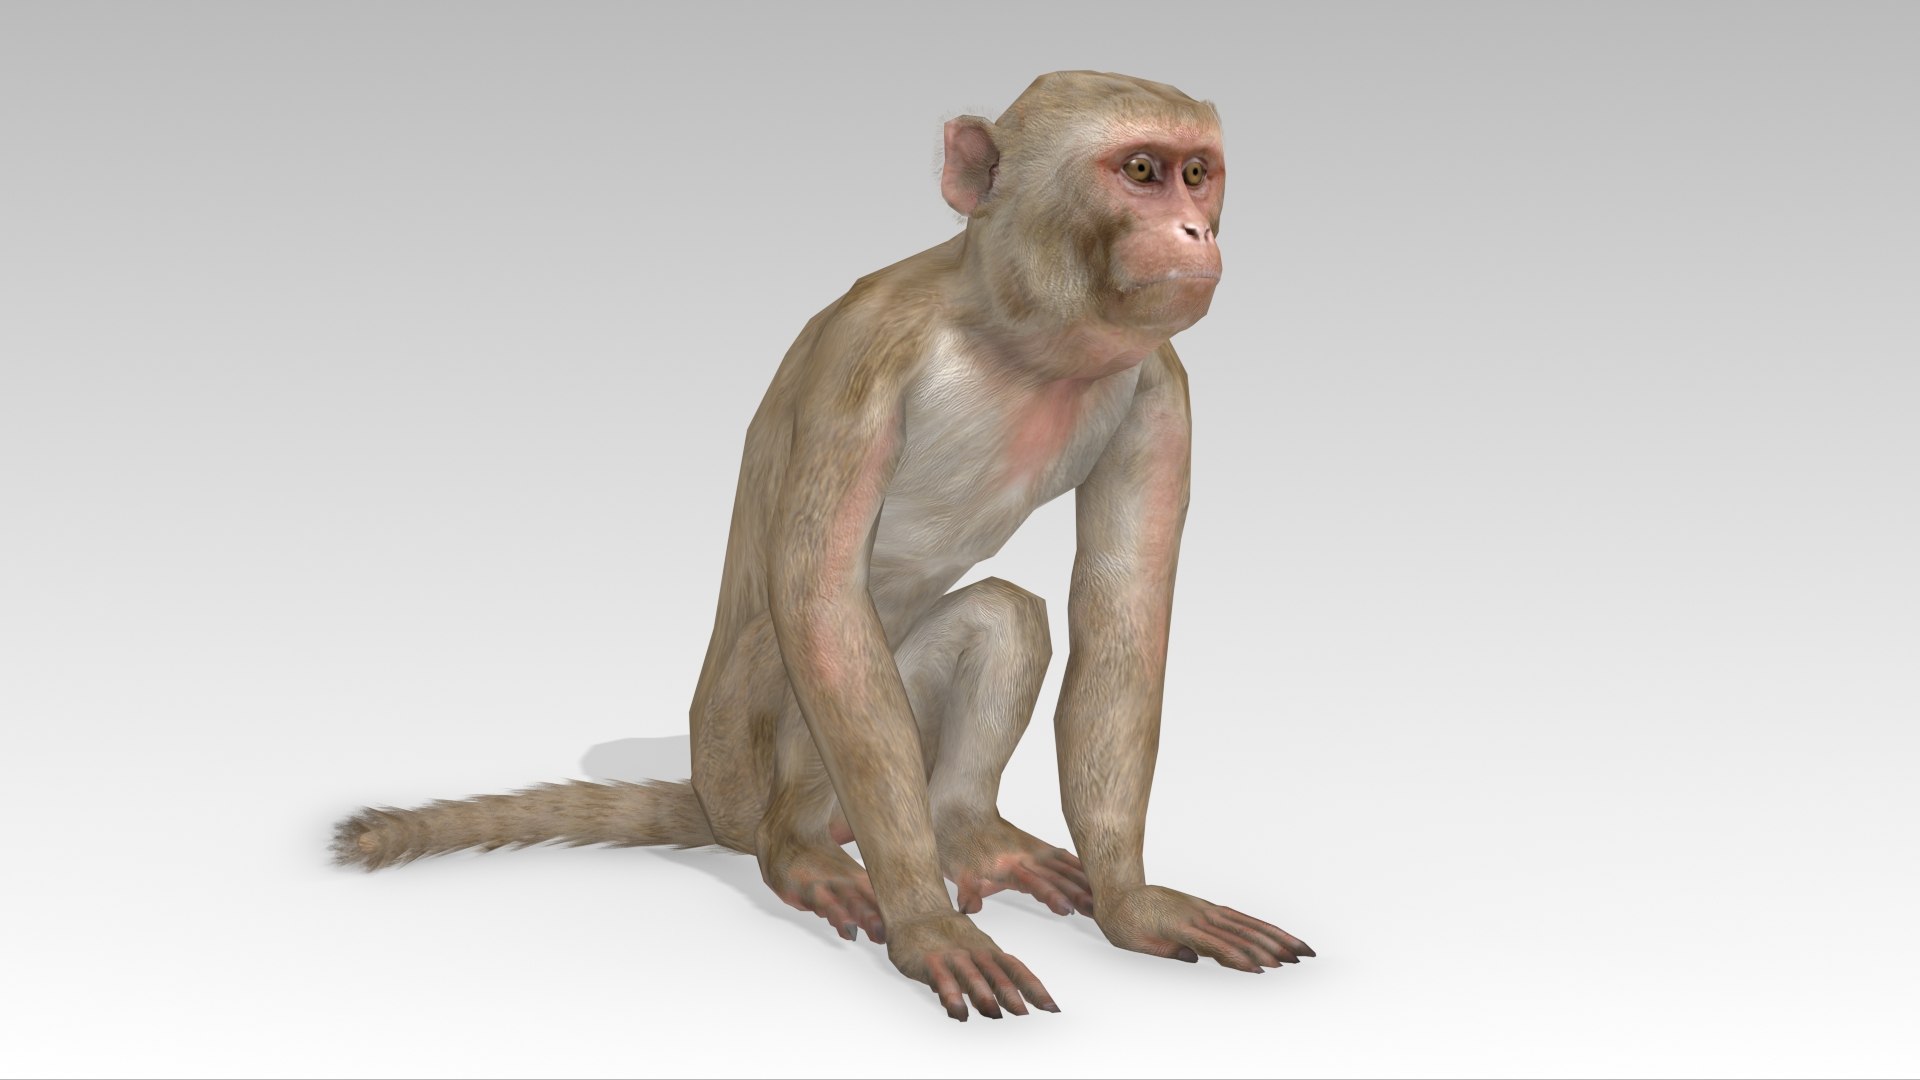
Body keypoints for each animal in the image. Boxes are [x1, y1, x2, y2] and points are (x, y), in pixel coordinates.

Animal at [332, 70, 1314, 1021]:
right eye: (1141, 171)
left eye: (1198, 173)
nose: (1194, 228)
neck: (1017, 345)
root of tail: (714, 796)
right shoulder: (866, 356)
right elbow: (819, 601)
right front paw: (926, 923)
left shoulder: (1158, 386)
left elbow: (1124, 612)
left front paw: (1133, 901)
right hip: (743, 761)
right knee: (817, 654)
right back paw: (798, 845)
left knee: (1005, 620)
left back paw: (963, 826)